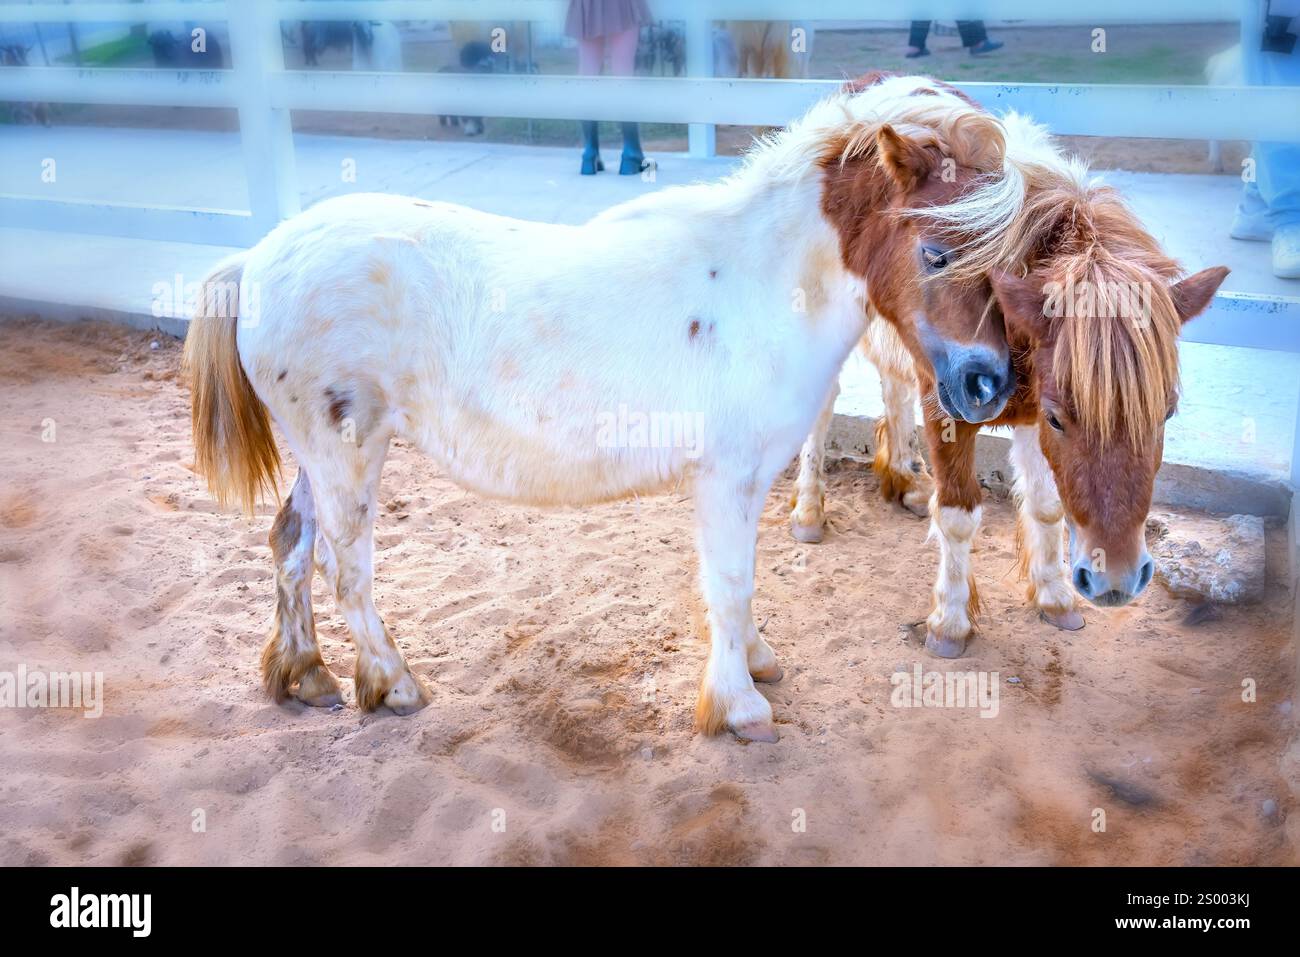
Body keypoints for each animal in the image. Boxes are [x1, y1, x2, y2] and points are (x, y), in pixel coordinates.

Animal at [183, 75, 1023, 743]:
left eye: (1003, 252)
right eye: (938, 251)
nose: (989, 383)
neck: (757, 282)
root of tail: (256, 259)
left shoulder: (748, 481)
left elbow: (742, 580)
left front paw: (756, 662)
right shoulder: (726, 477)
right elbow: (729, 583)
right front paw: (740, 707)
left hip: (320, 456)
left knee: (291, 544)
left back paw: (307, 674)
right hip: (346, 453)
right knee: (345, 567)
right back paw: (393, 684)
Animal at [788, 111, 1229, 658]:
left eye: (1166, 414)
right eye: (1060, 419)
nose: (1116, 582)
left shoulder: (1027, 413)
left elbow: (1046, 507)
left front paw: (1055, 597)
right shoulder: (951, 410)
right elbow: (958, 515)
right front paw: (950, 623)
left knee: (893, 382)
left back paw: (906, 479)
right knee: (823, 403)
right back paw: (809, 511)